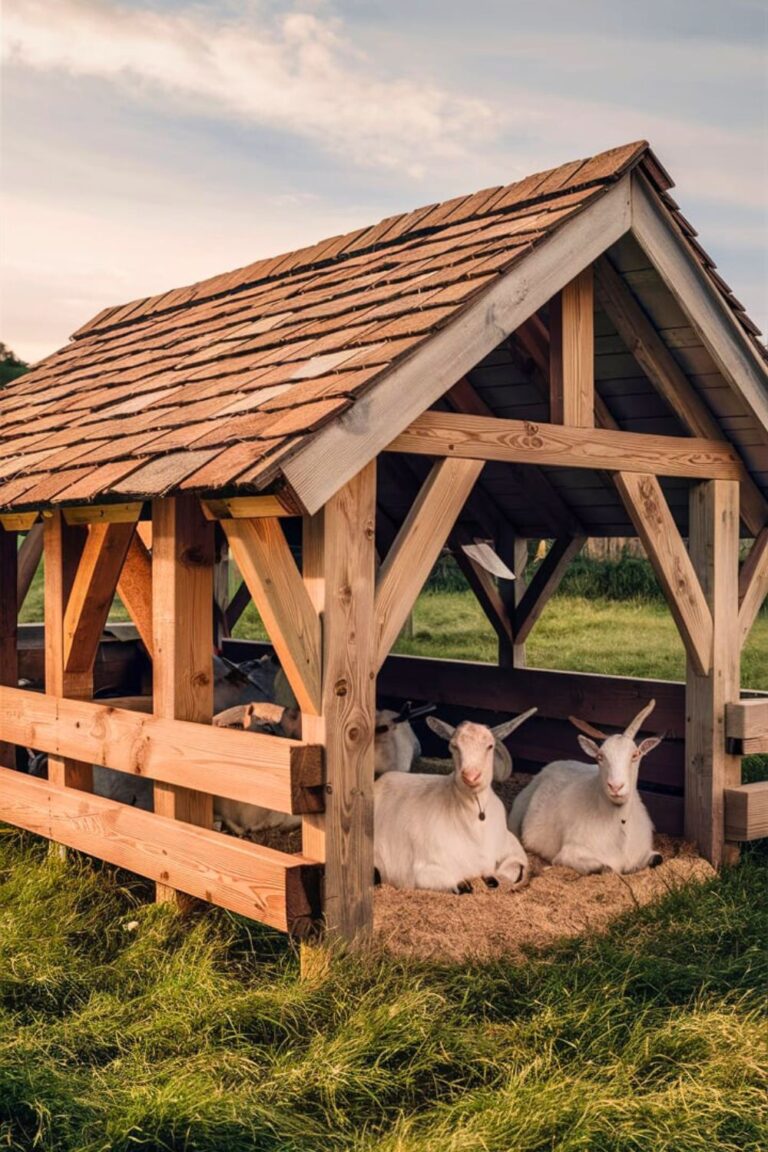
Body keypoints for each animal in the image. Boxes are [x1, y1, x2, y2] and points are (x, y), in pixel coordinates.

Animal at [374, 709, 537, 892]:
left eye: (490, 746)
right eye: (454, 746)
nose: (471, 775)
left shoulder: (513, 849)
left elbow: (514, 869)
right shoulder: (422, 871)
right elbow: (463, 886)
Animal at [508, 699, 664, 874]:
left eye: (635, 755)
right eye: (600, 757)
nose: (615, 786)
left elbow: (657, 858)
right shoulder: (569, 852)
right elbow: (606, 868)